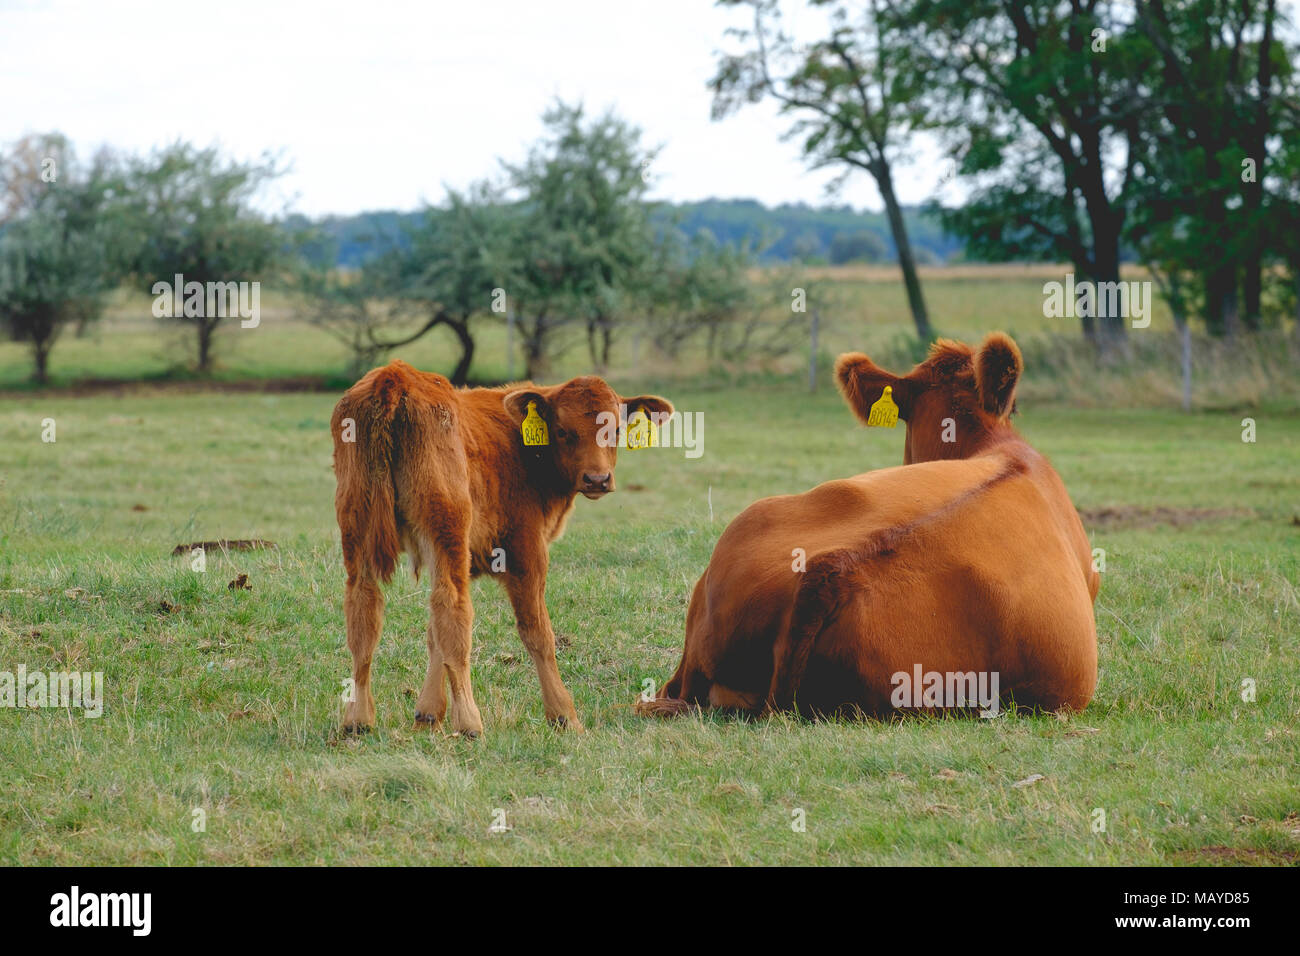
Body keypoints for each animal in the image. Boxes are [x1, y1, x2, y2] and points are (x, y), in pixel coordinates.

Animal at [332, 359, 673, 737]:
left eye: (614, 429)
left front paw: (428, 713)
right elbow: (537, 632)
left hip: (359, 533)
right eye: (563, 431)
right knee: (452, 607)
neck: (522, 446)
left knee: (365, 609)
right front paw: (563, 714)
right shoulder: (526, 552)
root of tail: (395, 376)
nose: (597, 479)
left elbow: (434, 637)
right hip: (446, 528)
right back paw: (469, 721)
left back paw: (358, 718)